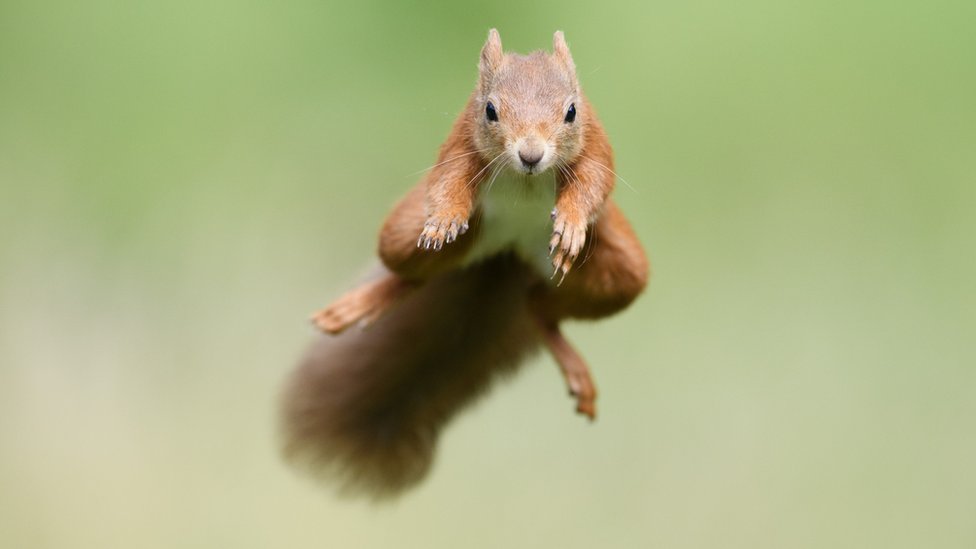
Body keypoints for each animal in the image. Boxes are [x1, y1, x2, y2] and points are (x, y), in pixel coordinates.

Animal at [280, 29, 649, 498]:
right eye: (489, 109)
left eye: (571, 111)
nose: (531, 155)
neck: (525, 180)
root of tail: (509, 251)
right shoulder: (460, 140)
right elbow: (448, 179)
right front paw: (445, 217)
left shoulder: (595, 140)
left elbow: (594, 180)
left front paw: (570, 221)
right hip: (403, 236)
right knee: (414, 273)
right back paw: (368, 300)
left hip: (622, 273)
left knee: (540, 306)